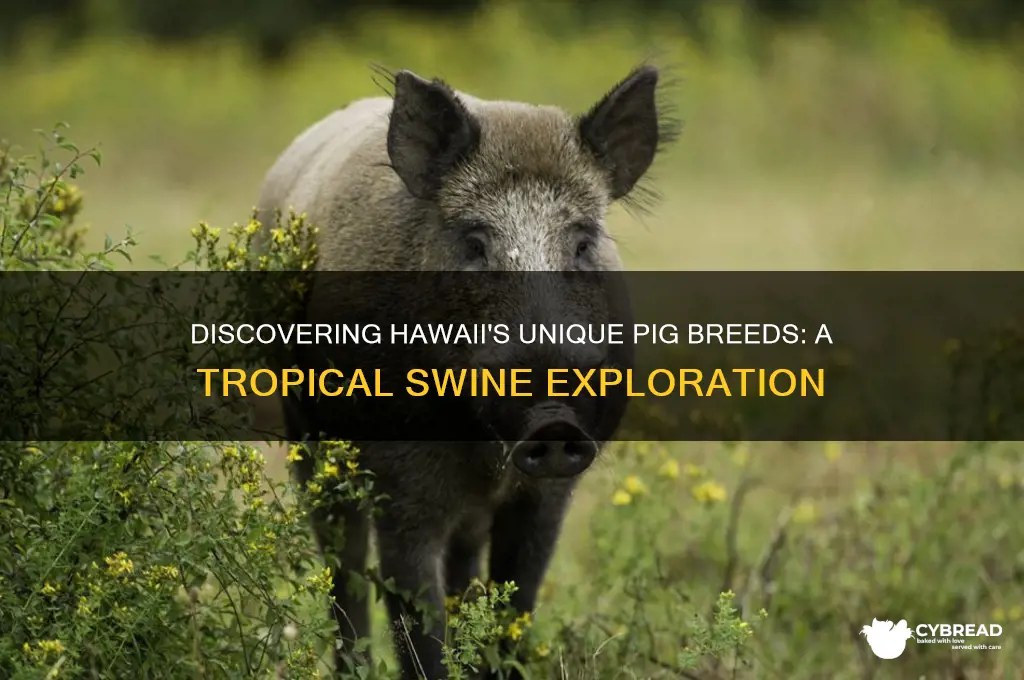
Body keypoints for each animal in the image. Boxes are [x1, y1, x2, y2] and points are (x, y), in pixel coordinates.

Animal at [253, 64, 679, 679]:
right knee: (344, 562)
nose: (552, 421)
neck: (484, 446)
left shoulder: (550, 493)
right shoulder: (400, 481)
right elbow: (415, 623)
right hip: (307, 434)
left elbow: (513, 610)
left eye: (581, 242)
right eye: (475, 244)